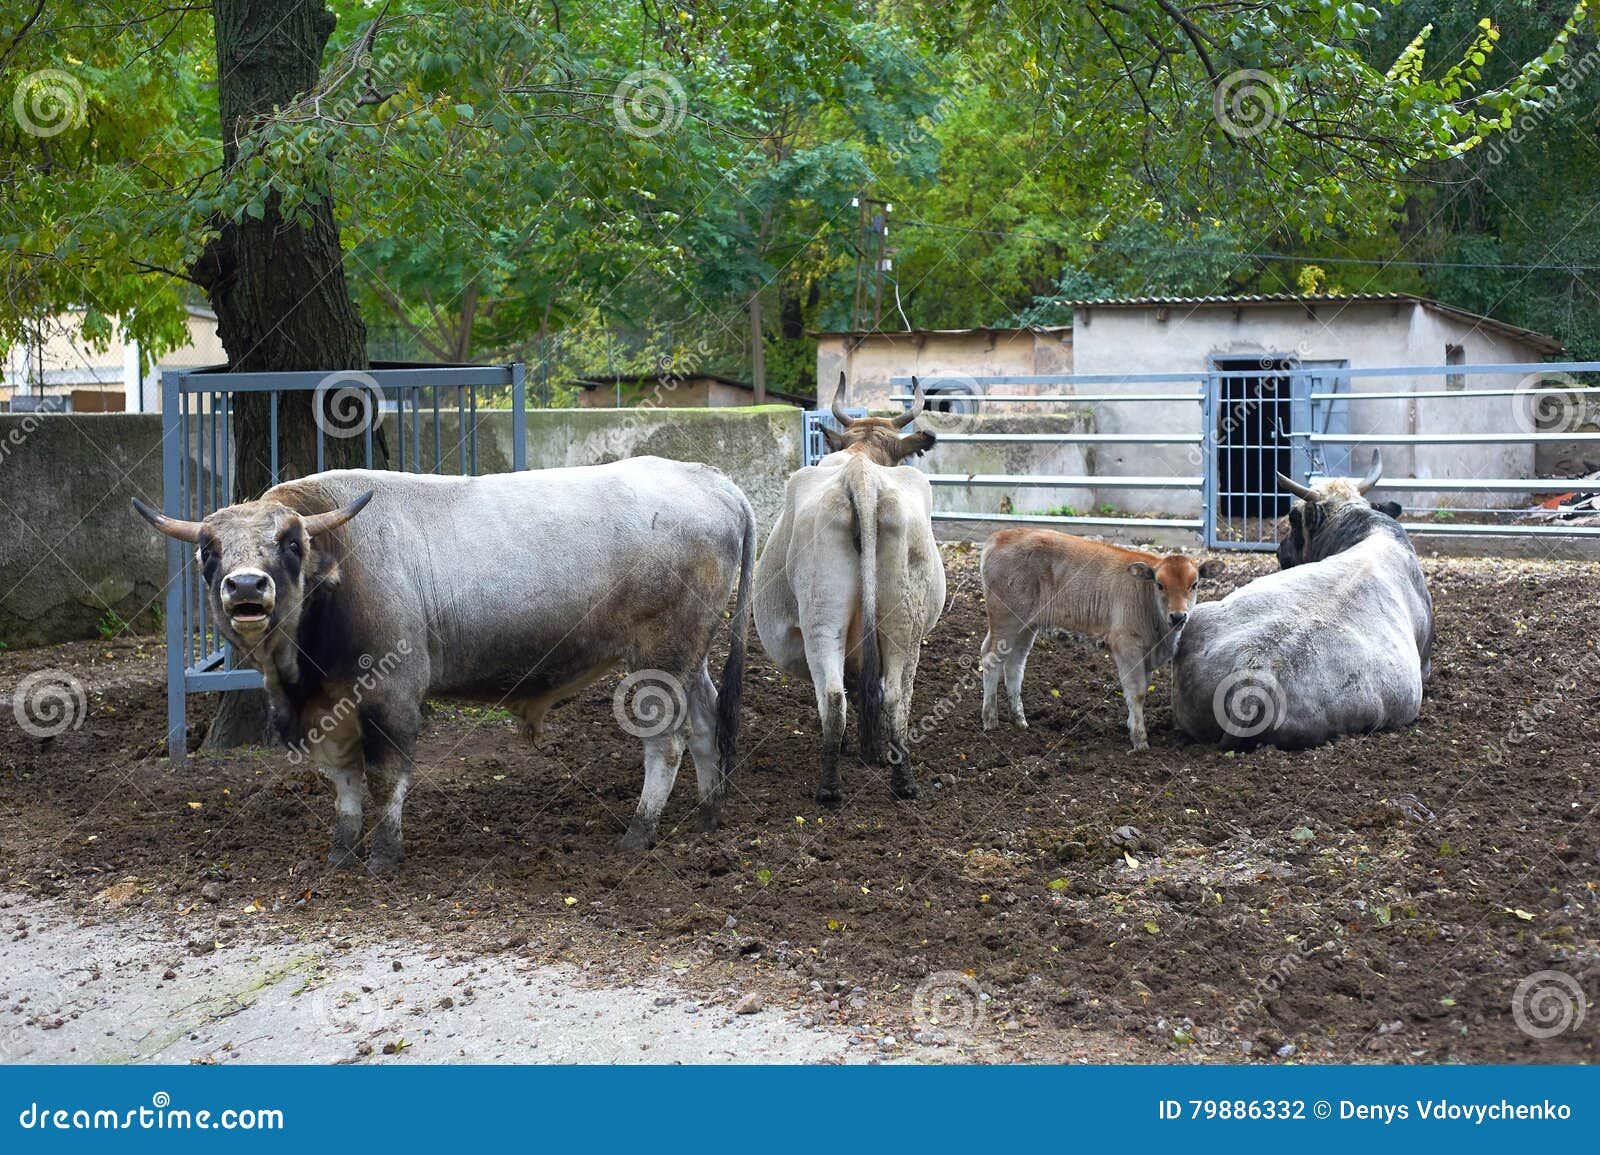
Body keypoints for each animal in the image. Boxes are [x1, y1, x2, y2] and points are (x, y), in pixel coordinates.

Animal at [132, 457, 755, 869]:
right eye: (209, 551)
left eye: (290, 544)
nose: (245, 586)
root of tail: (710, 479)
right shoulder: (329, 713)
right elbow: (344, 783)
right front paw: (341, 852)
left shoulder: (392, 696)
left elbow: (385, 778)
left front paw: (383, 856)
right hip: (691, 658)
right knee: (706, 725)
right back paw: (708, 815)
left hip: (660, 661)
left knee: (668, 743)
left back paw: (639, 832)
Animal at [754, 374, 944, 806]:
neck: (862, 453)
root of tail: (861, 476)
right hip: (901, 626)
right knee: (891, 697)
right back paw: (898, 781)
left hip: (825, 621)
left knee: (837, 697)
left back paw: (833, 785)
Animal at [979, 530, 1223, 749]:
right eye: (1160, 584)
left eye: (1195, 584)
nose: (1178, 616)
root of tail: (1000, 537)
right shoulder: (1126, 645)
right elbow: (1136, 692)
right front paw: (1140, 740)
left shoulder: (1147, 655)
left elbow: (1142, 689)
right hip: (1005, 619)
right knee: (990, 659)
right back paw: (990, 721)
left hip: (1026, 625)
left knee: (1015, 665)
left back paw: (1020, 720)